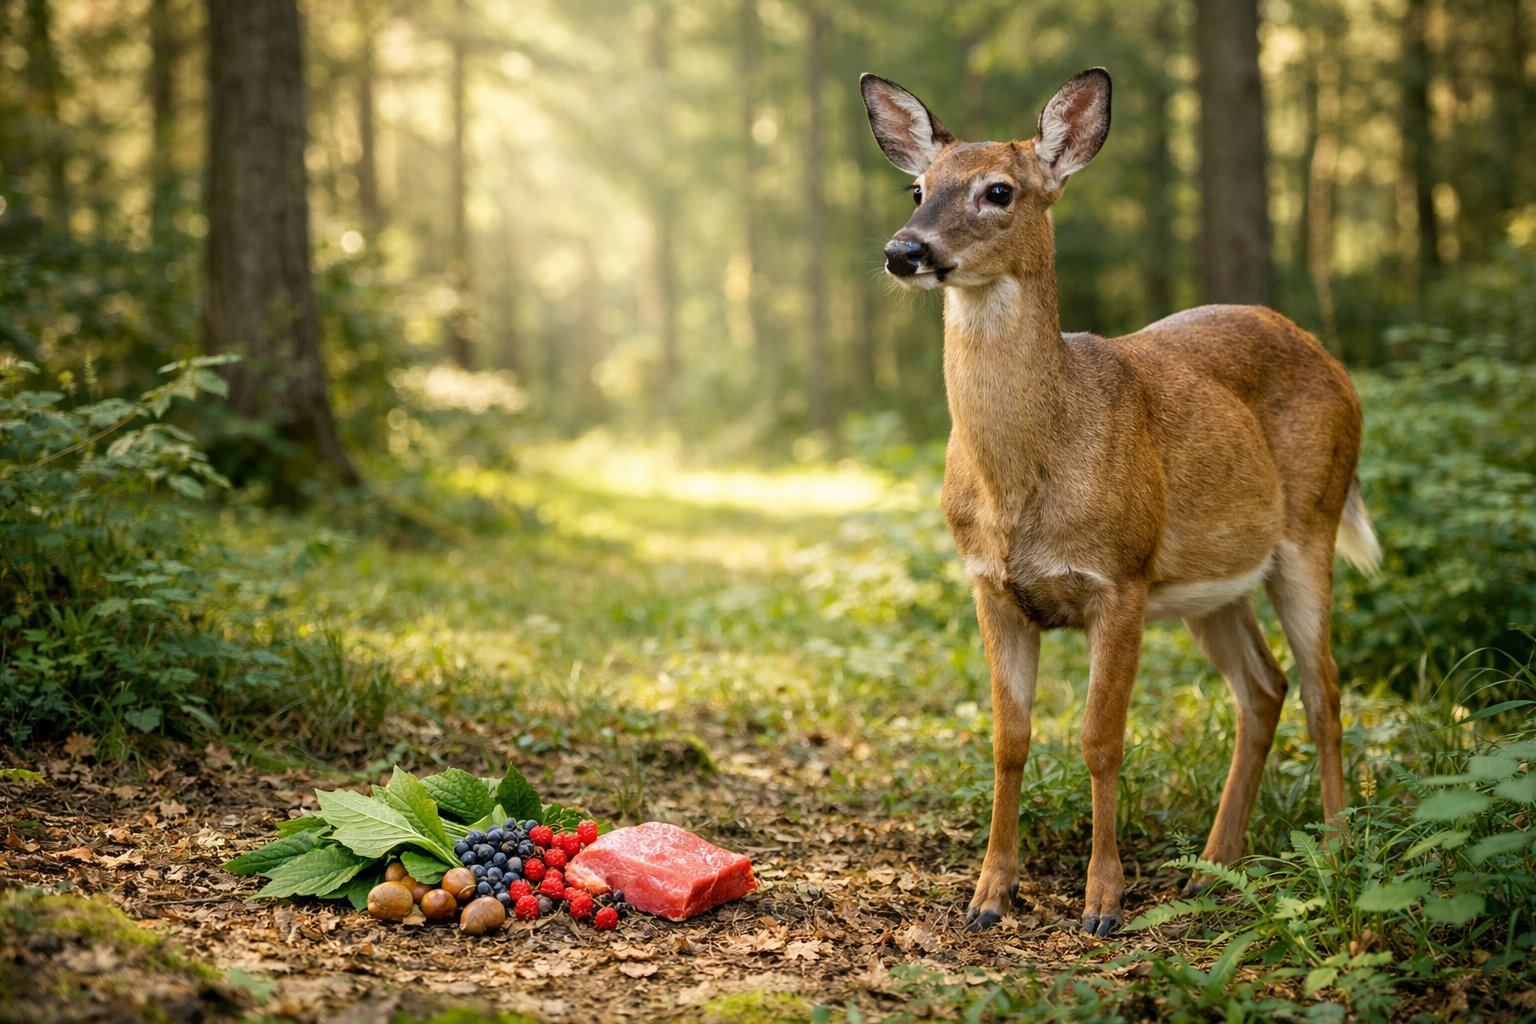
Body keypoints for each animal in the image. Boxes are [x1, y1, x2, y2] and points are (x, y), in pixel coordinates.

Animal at [860, 67, 1381, 936]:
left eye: (998, 190)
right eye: (917, 187)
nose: (905, 251)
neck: (1023, 484)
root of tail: (1332, 361)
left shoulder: (1122, 577)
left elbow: (1100, 739)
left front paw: (1103, 901)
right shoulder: (988, 583)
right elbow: (1009, 737)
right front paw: (989, 893)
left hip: (1310, 524)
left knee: (1324, 688)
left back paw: (1338, 852)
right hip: (1214, 584)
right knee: (1263, 688)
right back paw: (1212, 865)